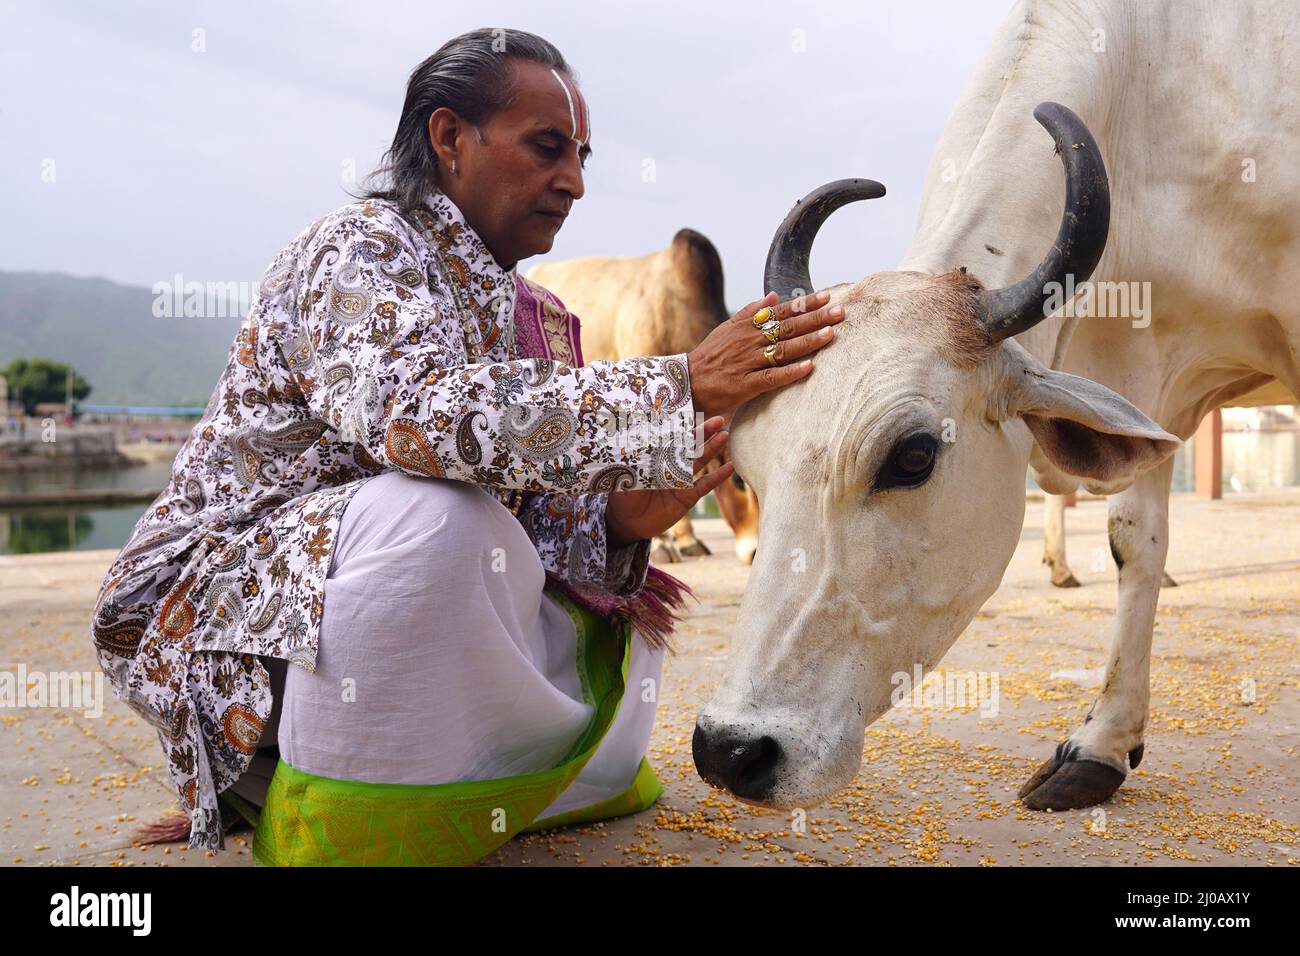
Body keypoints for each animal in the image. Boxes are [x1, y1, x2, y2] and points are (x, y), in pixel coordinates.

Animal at [693, 0, 1299, 815]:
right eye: (747, 464)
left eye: (913, 455)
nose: (731, 750)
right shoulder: (1143, 374)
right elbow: (1134, 541)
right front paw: (1103, 746)